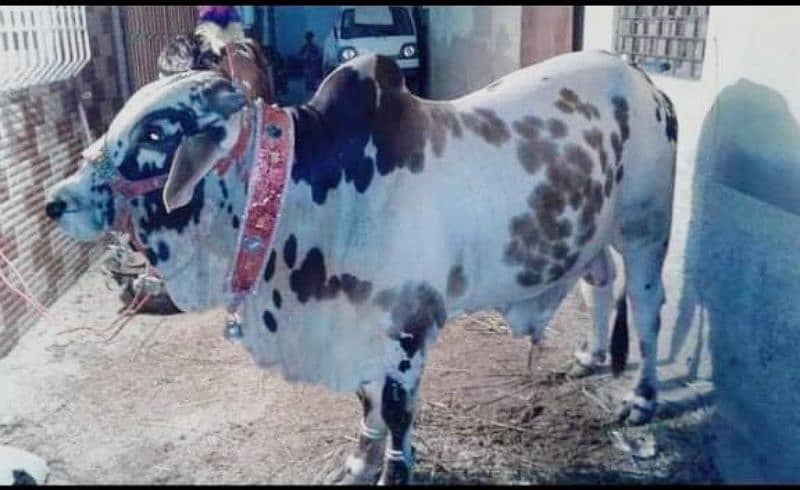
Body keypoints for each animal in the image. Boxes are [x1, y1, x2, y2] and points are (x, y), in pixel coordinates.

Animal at [44, 50, 677, 484]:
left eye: (154, 132)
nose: (56, 201)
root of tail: (640, 76)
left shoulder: (407, 329)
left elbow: (397, 413)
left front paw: (394, 469)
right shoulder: (357, 328)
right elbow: (367, 403)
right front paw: (357, 461)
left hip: (646, 227)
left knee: (648, 308)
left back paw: (642, 399)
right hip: (590, 234)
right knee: (599, 284)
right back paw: (589, 356)